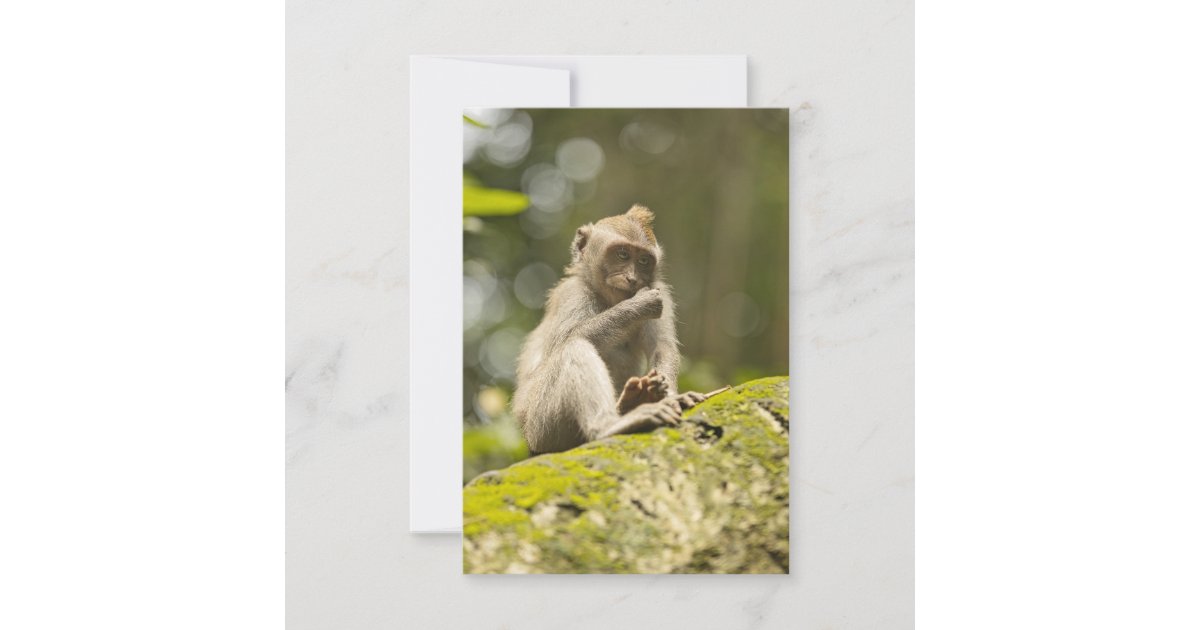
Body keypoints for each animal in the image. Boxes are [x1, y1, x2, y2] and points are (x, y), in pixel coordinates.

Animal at [512, 204, 709, 454]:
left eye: (644, 260)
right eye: (622, 254)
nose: (632, 278)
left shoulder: (660, 290)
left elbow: (662, 348)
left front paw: (672, 398)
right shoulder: (573, 294)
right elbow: (562, 344)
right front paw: (637, 305)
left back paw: (634, 400)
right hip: (542, 425)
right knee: (574, 349)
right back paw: (611, 424)